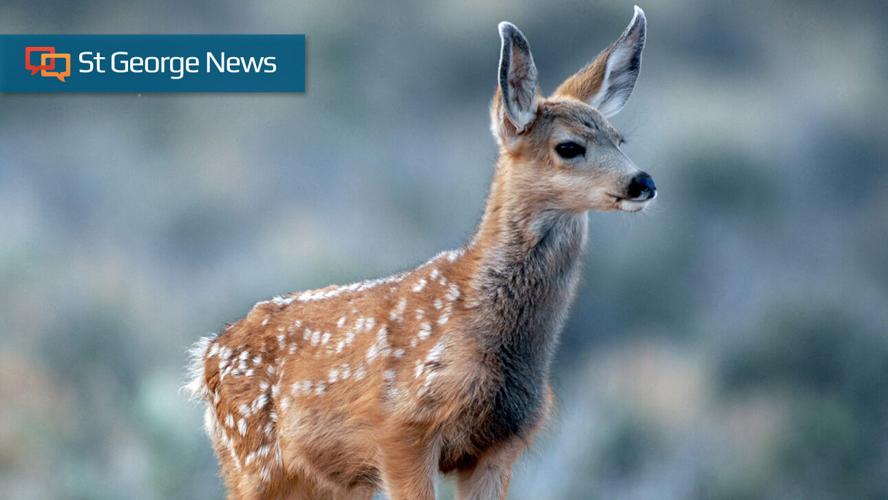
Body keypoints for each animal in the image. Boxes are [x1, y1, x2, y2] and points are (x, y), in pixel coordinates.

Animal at [186, 6, 655, 499]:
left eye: (619, 139)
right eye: (568, 147)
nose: (642, 182)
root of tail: (207, 355)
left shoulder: (500, 445)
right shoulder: (400, 429)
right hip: (251, 457)